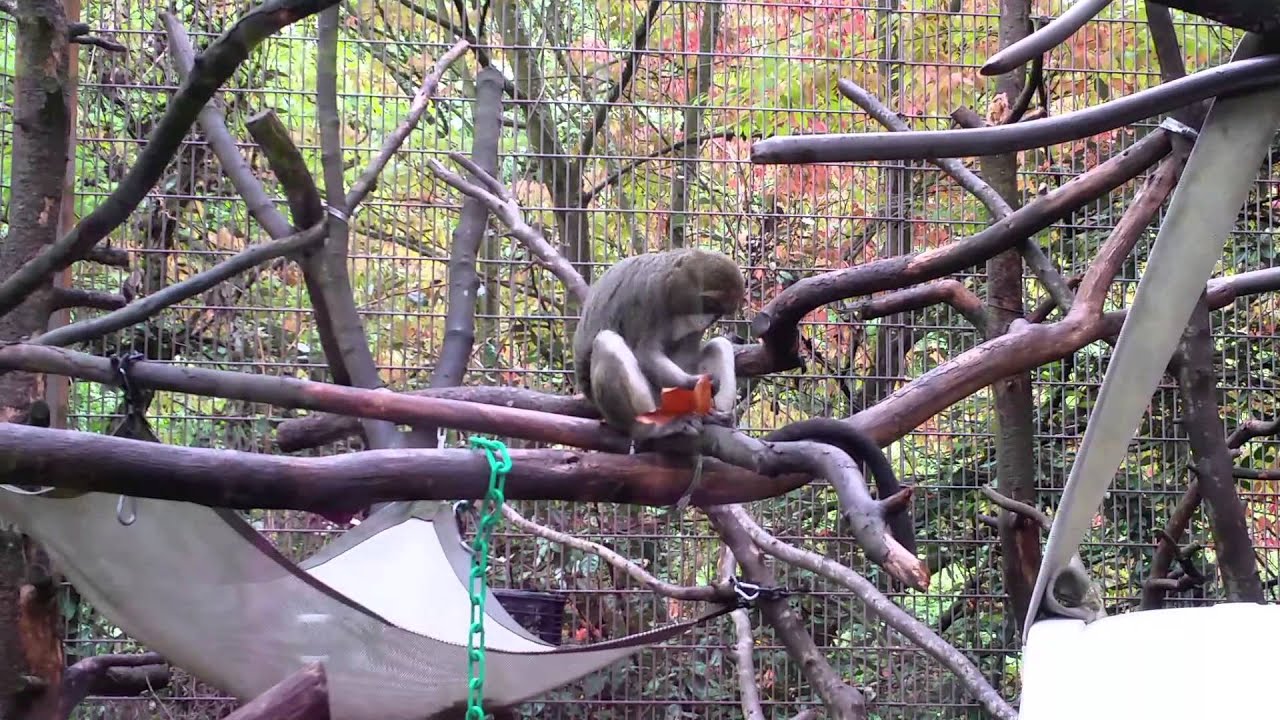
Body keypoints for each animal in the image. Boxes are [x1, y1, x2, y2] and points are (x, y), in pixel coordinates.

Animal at [572, 248, 745, 448]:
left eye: (717, 313)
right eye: (709, 305)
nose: (706, 320)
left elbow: (685, 356)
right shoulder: (648, 295)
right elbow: (645, 352)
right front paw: (691, 383)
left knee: (720, 345)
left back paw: (712, 417)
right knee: (606, 341)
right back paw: (646, 429)